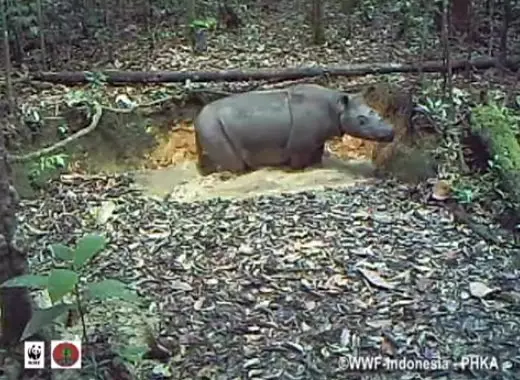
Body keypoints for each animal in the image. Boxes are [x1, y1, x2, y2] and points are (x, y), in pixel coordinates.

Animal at [194, 83, 394, 175]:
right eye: (361, 120)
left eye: (378, 113)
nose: (391, 132)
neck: (337, 107)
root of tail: (196, 119)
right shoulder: (300, 145)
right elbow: (299, 161)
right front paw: (297, 170)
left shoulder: (316, 140)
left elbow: (317, 155)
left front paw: (316, 167)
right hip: (212, 125)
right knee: (234, 163)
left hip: (209, 125)